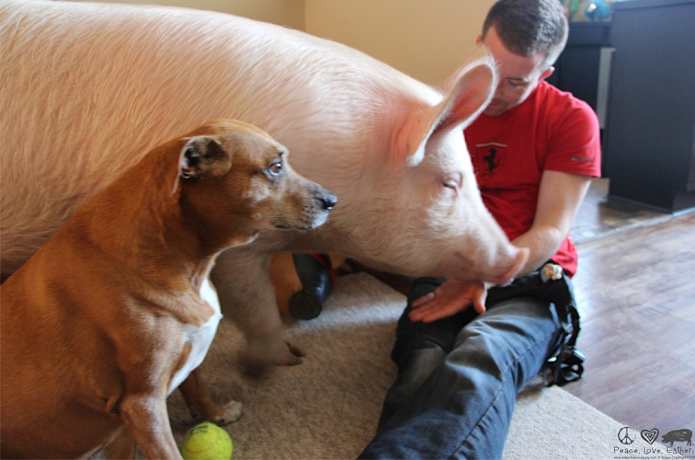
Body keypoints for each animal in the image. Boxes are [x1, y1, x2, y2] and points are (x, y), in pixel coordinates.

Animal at [0, 0, 527, 367]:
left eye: (470, 179)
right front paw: (288, 358)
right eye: (450, 183)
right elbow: (253, 306)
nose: (516, 257)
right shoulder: (237, 245)